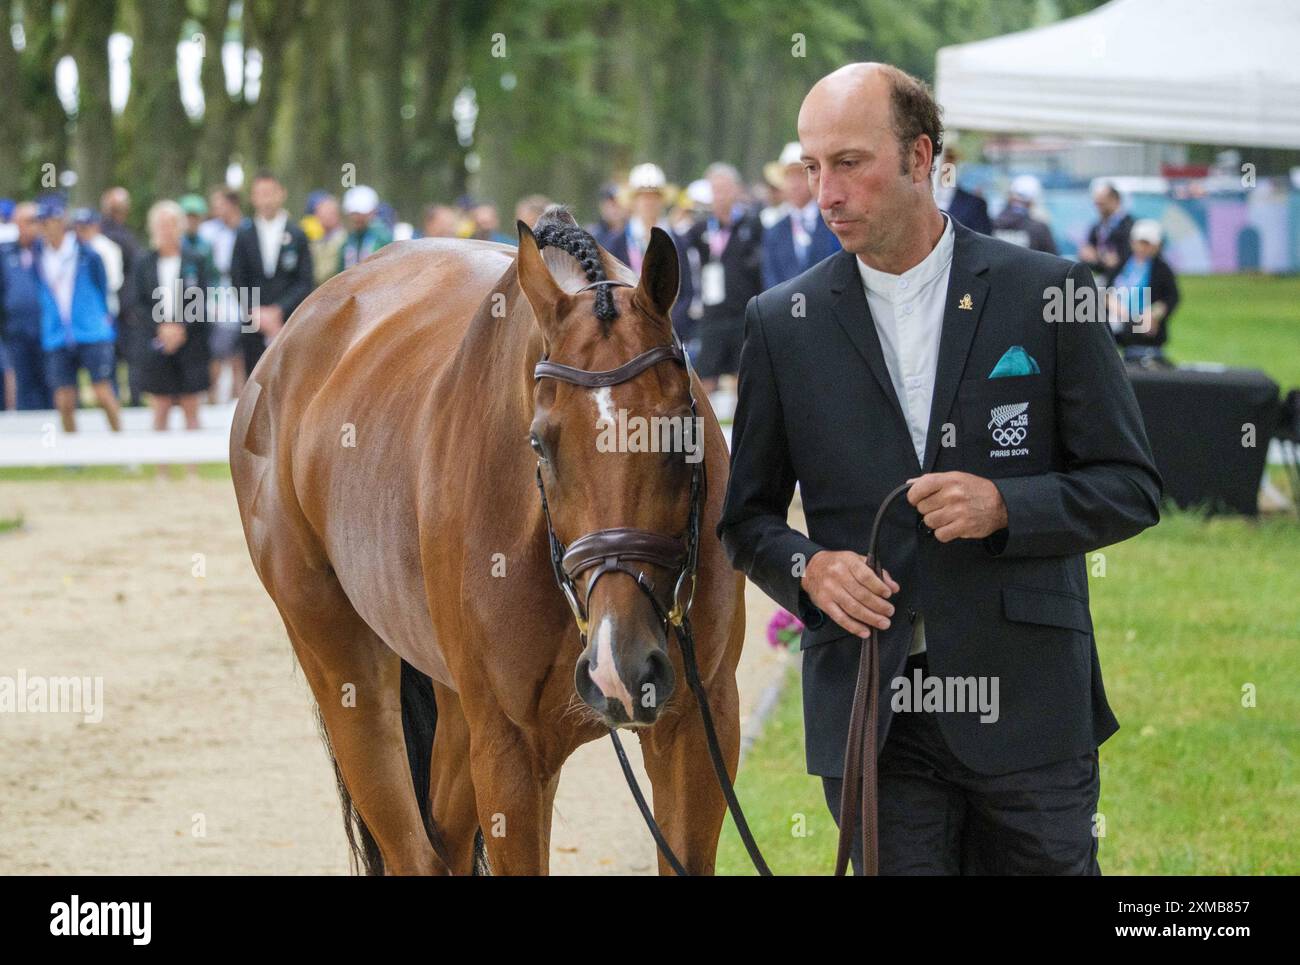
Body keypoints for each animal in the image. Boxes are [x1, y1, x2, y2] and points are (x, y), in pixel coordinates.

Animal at [229, 207, 746, 875]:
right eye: (540, 444)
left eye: (681, 432)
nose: (622, 666)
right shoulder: (510, 751)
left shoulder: (698, 728)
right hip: (341, 663)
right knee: (412, 849)